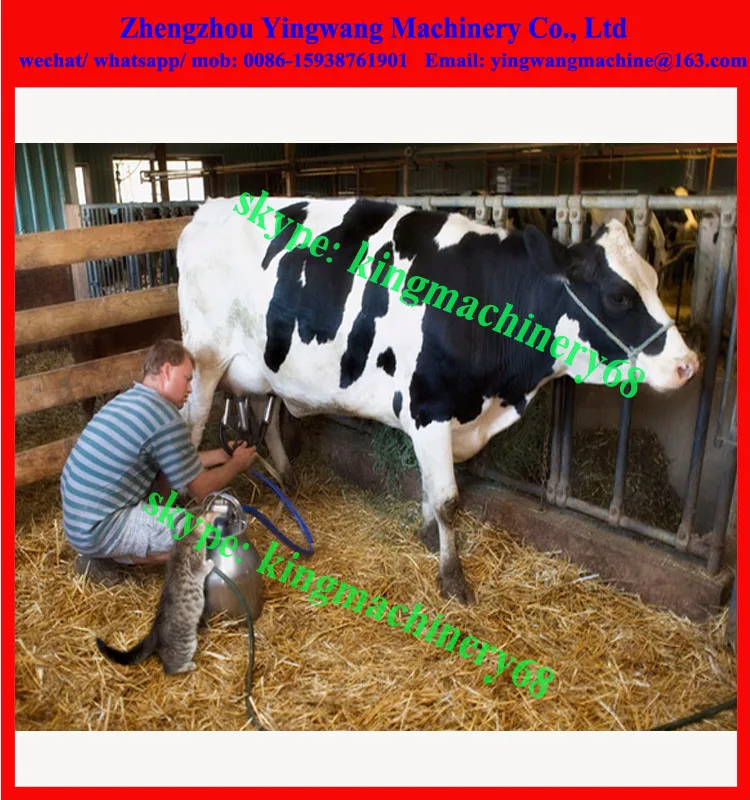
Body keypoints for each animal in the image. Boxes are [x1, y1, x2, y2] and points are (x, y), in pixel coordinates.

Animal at [176, 196, 699, 604]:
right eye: (618, 296)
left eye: (655, 280)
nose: (688, 364)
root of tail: (206, 210)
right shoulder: (429, 408)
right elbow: (448, 498)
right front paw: (453, 578)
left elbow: (431, 488)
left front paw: (428, 536)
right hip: (204, 359)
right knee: (192, 423)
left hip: (264, 365)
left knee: (264, 417)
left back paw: (287, 476)